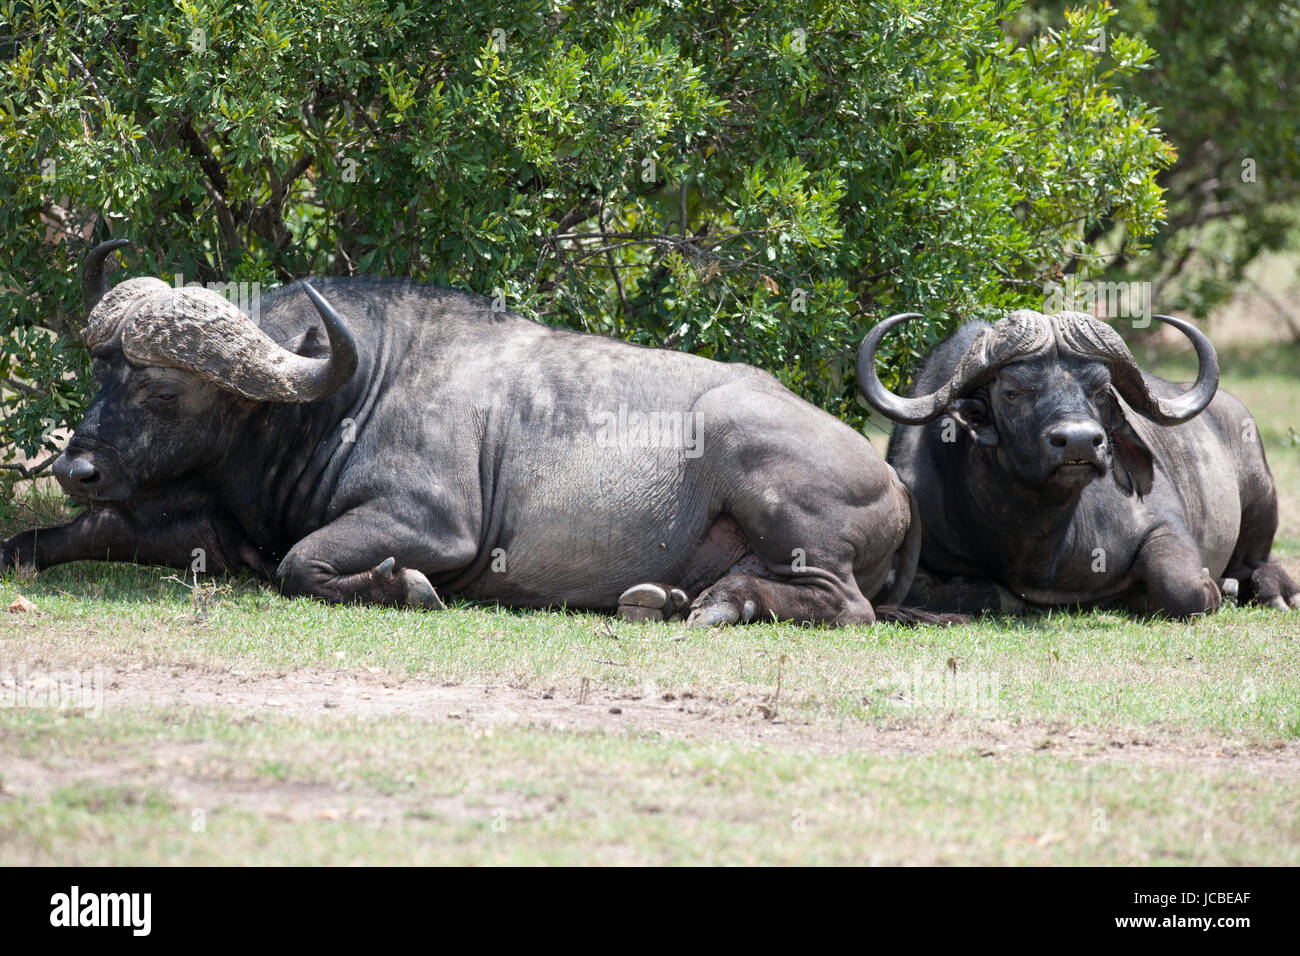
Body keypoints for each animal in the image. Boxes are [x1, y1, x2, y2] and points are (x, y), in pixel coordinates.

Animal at [1, 240, 920, 627]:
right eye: (100, 372)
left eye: (161, 389)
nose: (76, 467)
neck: (337, 396)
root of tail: (896, 483)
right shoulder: (202, 528)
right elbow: (83, 532)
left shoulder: (433, 527)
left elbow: (303, 565)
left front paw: (399, 587)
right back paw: (664, 599)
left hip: (758, 469)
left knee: (843, 605)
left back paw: (723, 605)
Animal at [857, 309, 1300, 617]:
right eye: (1013, 391)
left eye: (1102, 390)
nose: (1081, 442)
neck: (1035, 534)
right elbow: (980, 593)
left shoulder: (1164, 526)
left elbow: (1181, 585)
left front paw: (1209, 586)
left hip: (1261, 495)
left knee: (1259, 559)